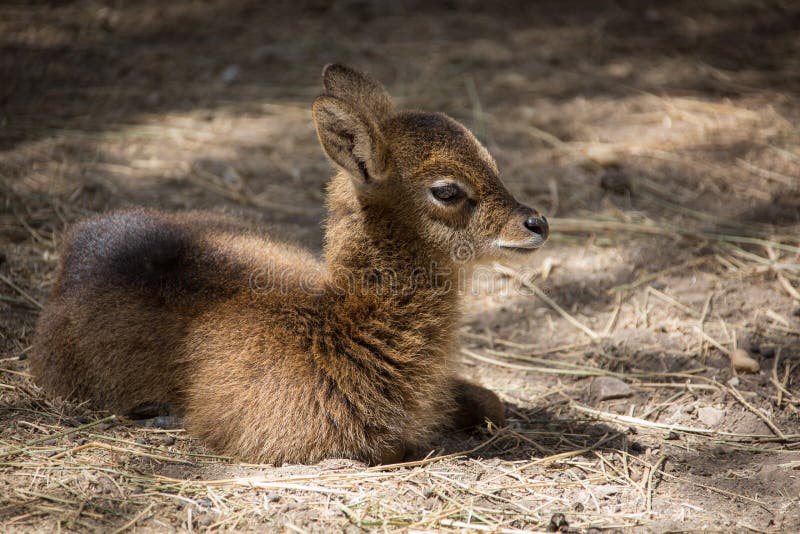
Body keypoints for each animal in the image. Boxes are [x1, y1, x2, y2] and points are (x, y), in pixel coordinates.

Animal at [30, 64, 549, 465]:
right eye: (446, 189)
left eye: (493, 162)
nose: (537, 223)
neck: (341, 328)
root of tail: (80, 239)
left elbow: (493, 402)